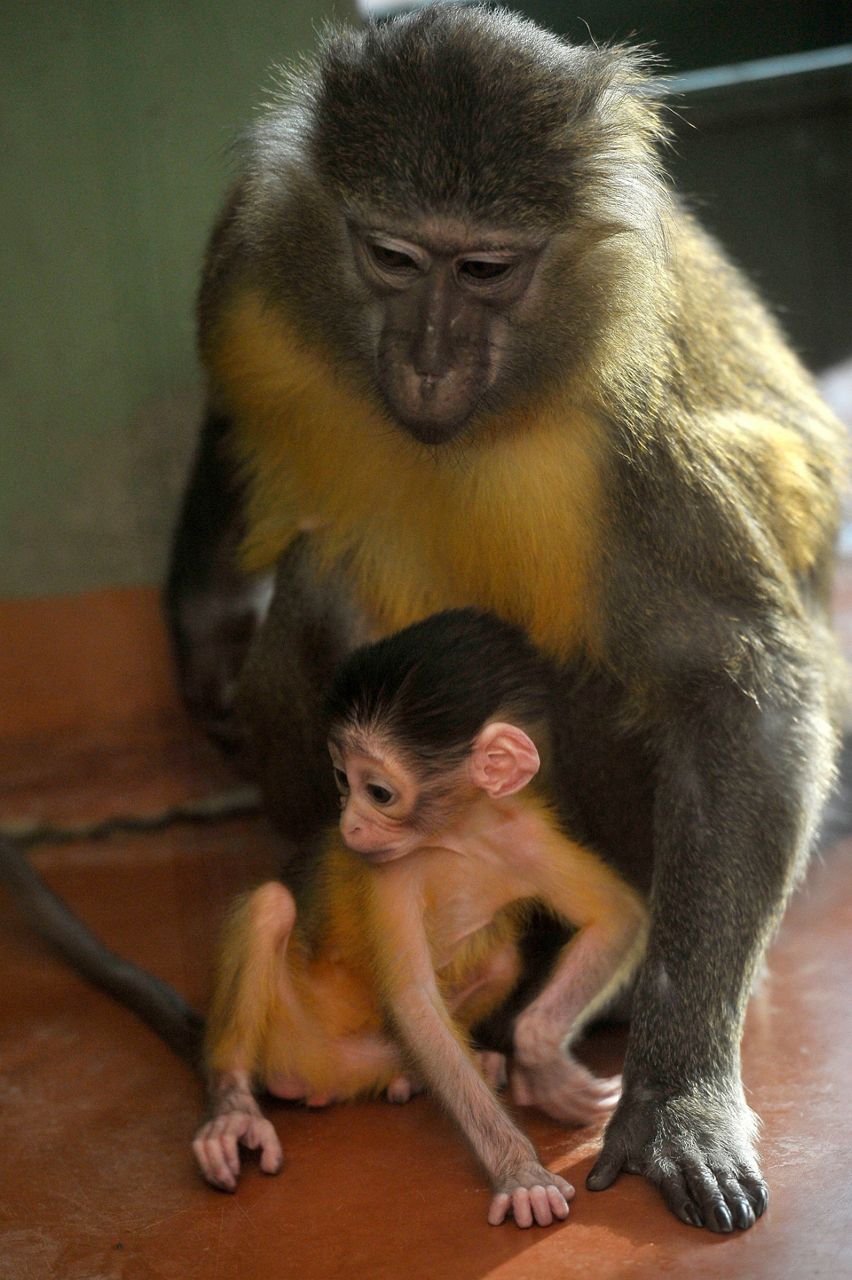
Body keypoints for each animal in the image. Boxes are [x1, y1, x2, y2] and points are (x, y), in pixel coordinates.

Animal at [193, 609, 647, 1229]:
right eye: (341, 780)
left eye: (379, 792)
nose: (351, 827)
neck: (457, 838)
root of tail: (323, 1076)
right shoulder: (391, 871)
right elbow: (413, 1000)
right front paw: (520, 1171)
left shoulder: (525, 834)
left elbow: (617, 914)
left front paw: (541, 1058)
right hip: (288, 1035)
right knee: (270, 907)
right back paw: (234, 1107)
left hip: (371, 1054)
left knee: (502, 958)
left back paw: (430, 1073)